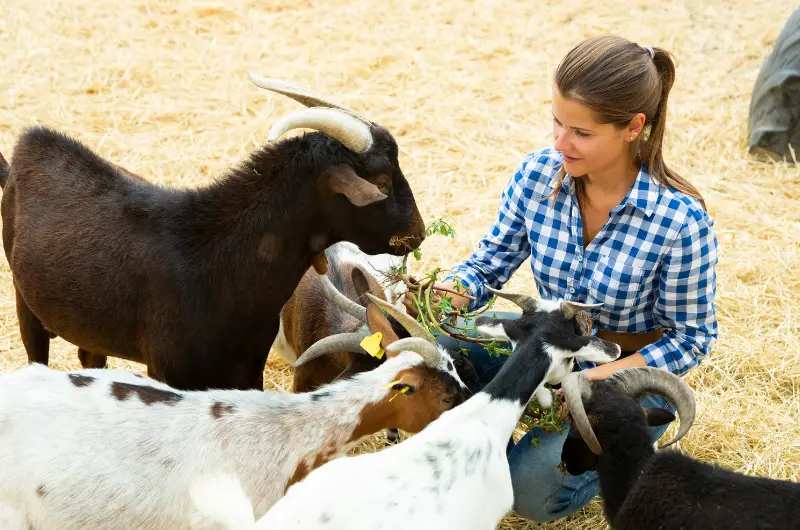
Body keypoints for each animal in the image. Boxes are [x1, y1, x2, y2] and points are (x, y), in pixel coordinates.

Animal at [0, 73, 425, 391]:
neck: (216, 259)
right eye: (382, 181)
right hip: (26, 304)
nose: (417, 233)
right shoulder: (171, 372)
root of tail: (24, 151)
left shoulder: (249, 368)